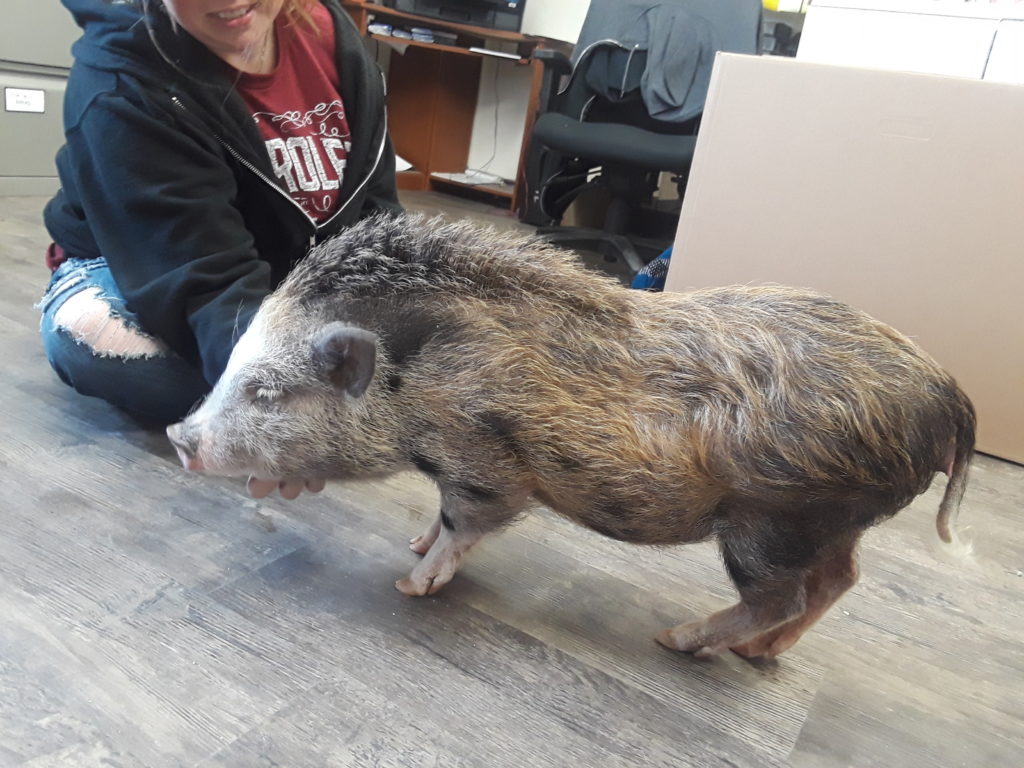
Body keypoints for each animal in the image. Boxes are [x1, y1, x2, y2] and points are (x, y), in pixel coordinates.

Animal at [167, 213, 975, 659]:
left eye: (266, 391)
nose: (179, 433)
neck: (418, 375)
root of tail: (946, 391)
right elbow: (438, 519)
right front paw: (411, 544)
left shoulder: (486, 460)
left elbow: (467, 522)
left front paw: (411, 582)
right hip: (836, 521)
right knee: (839, 582)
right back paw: (761, 657)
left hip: (772, 522)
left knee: (781, 596)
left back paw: (678, 641)